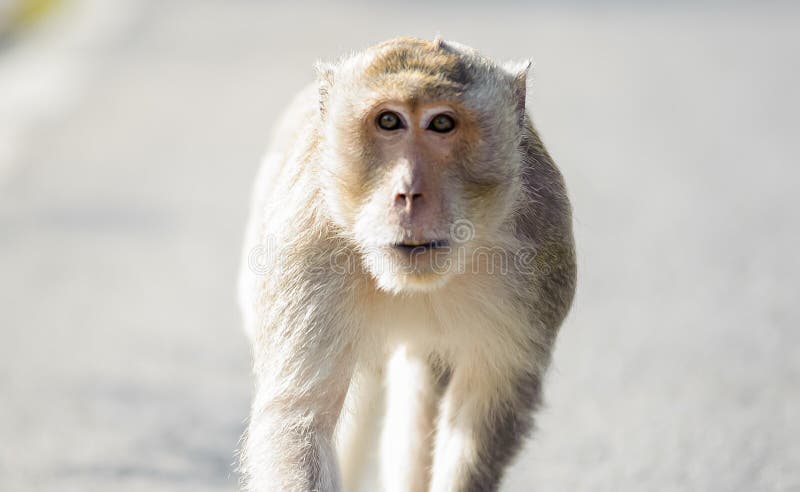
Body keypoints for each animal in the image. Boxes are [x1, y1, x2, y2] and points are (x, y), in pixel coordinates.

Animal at [237, 37, 576, 492]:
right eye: (389, 121)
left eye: (442, 124)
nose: (409, 193)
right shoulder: (304, 250)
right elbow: (301, 418)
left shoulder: (539, 250)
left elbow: (486, 407)